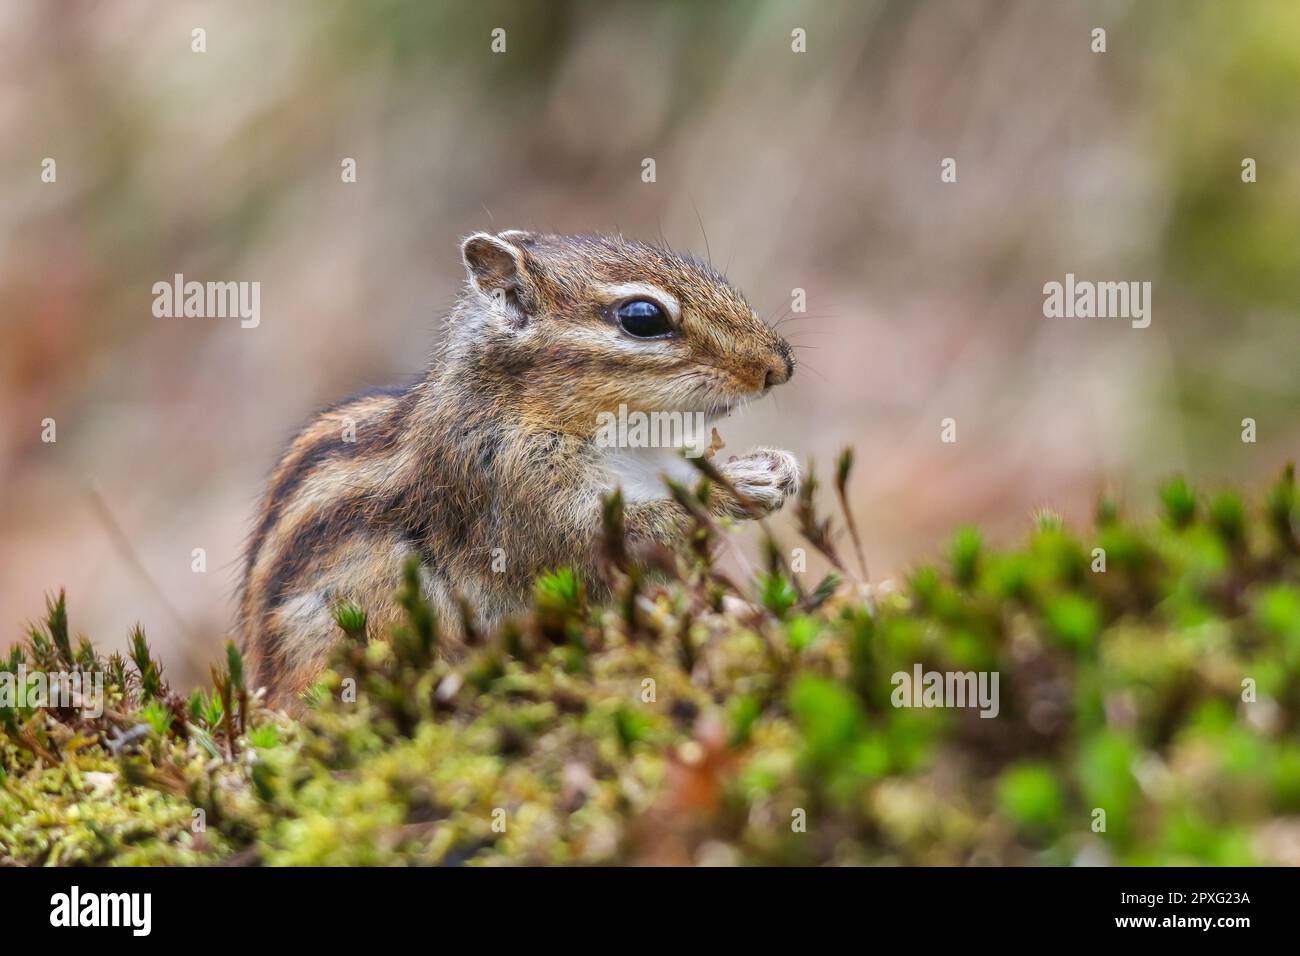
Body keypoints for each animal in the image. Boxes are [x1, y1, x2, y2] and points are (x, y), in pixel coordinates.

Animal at [238, 231, 799, 709]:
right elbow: (609, 536)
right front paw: (744, 485)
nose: (780, 367)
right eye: (642, 317)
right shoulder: (514, 486)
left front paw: (779, 465)